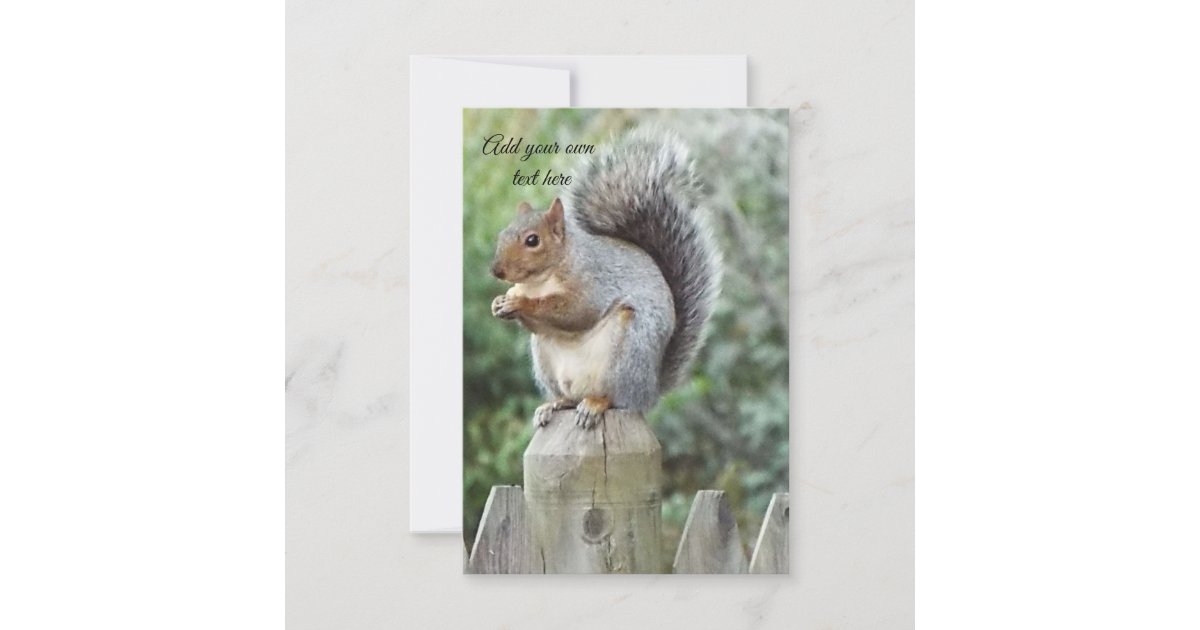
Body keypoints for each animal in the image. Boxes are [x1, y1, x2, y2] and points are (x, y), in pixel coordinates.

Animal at [489, 131, 721, 430]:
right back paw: (554, 404)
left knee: (615, 398)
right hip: (545, 357)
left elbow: (576, 311)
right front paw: (499, 303)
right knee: (568, 397)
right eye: (502, 234)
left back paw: (596, 405)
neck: (539, 282)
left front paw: (520, 304)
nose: (496, 271)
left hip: (629, 347)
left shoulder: (593, 283)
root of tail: (650, 391)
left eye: (532, 240)